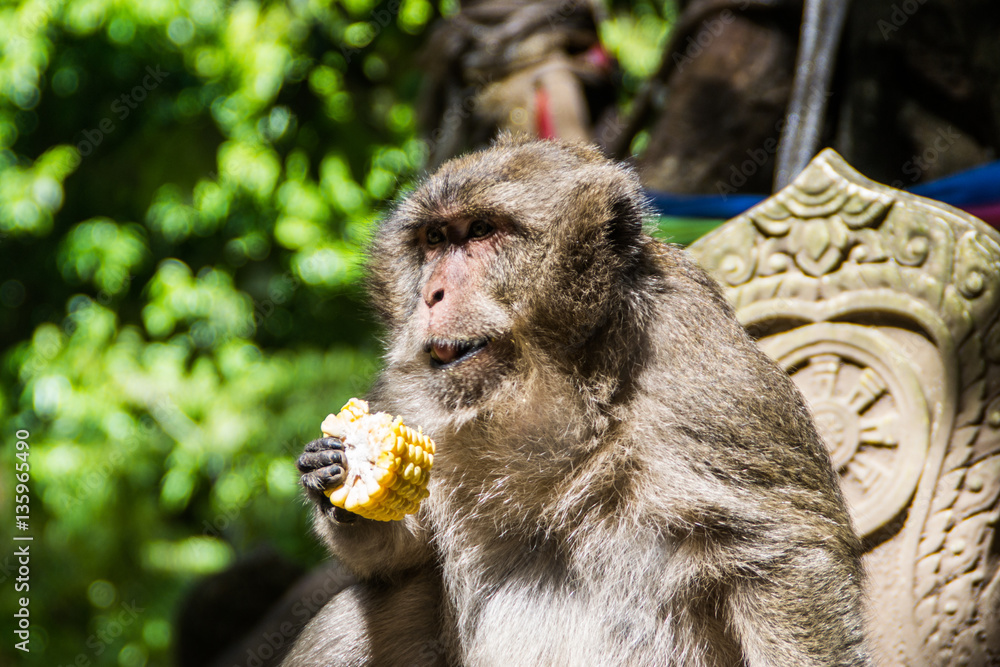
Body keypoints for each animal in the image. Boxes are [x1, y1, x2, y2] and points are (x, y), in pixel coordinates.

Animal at [285, 137, 871, 666]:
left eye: (480, 232)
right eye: (434, 239)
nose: (432, 295)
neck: (565, 382)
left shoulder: (705, 378)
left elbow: (783, 557)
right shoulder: (407, 394)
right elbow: (406, 554)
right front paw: (333, 472)